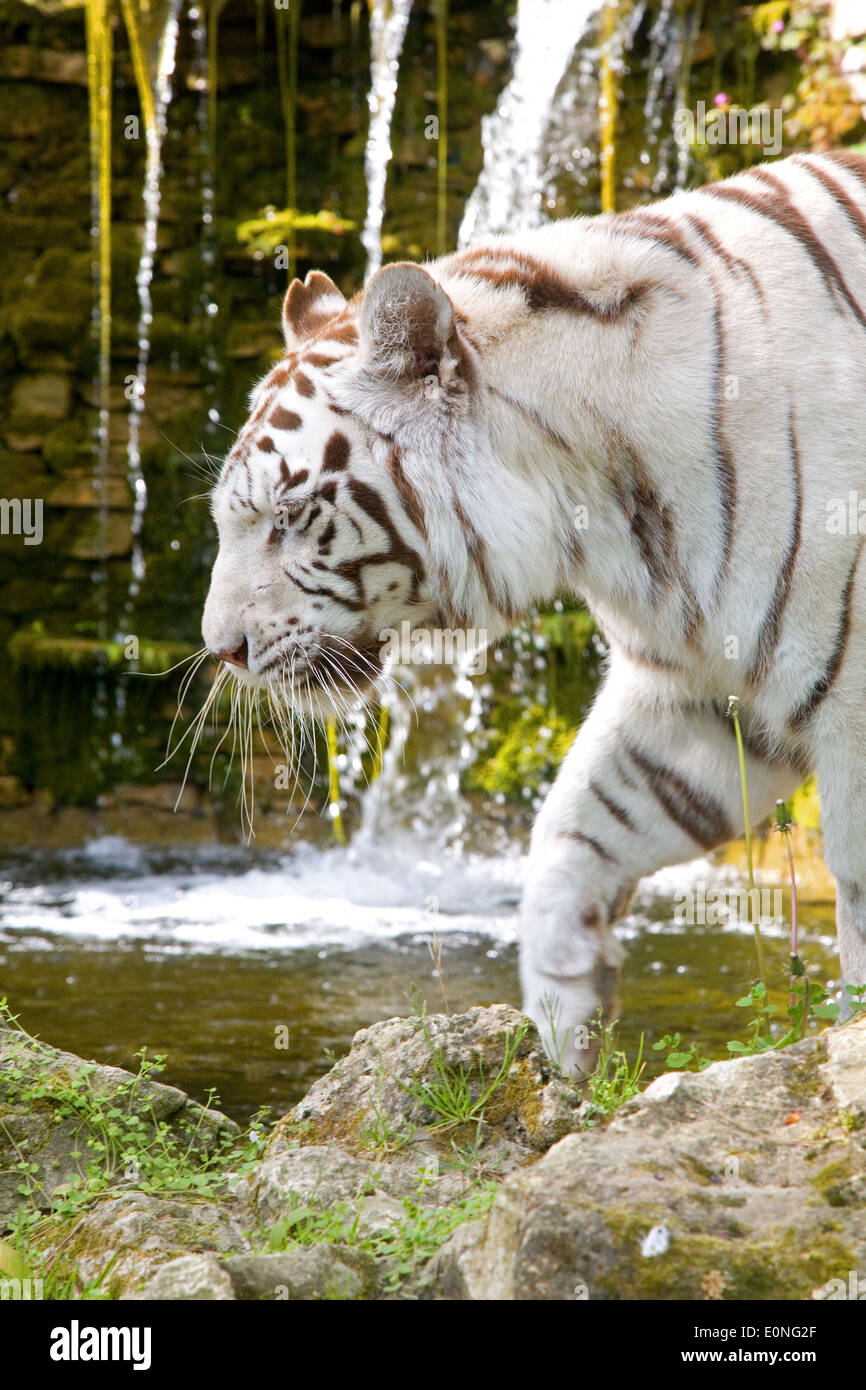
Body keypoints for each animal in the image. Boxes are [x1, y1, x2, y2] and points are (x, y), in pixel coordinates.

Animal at [203, 149, 866, 1072]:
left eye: (290, 516)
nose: (219, 648)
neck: (612, 509)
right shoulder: (699, 690)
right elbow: (573, 832)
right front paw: (567, 1027)